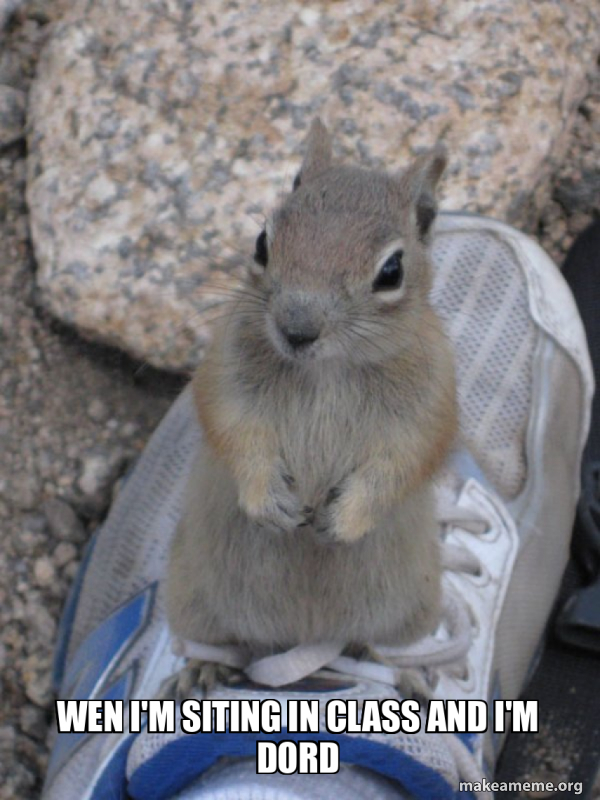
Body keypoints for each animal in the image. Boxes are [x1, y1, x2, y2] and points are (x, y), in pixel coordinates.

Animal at [166, 119, 458, 684]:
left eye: (392, 271)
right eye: (263, 242)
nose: (296, 329)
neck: (325, 371)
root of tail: (307, 634)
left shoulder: (428, 406)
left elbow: (403, 462)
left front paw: (345, 518)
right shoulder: (227, 377)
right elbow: (235, 432)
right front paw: (268, 500)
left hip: (414, 610)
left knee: (369, 643)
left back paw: (398, 673)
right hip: (189, 596)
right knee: (226, 645)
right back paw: (202, 672)